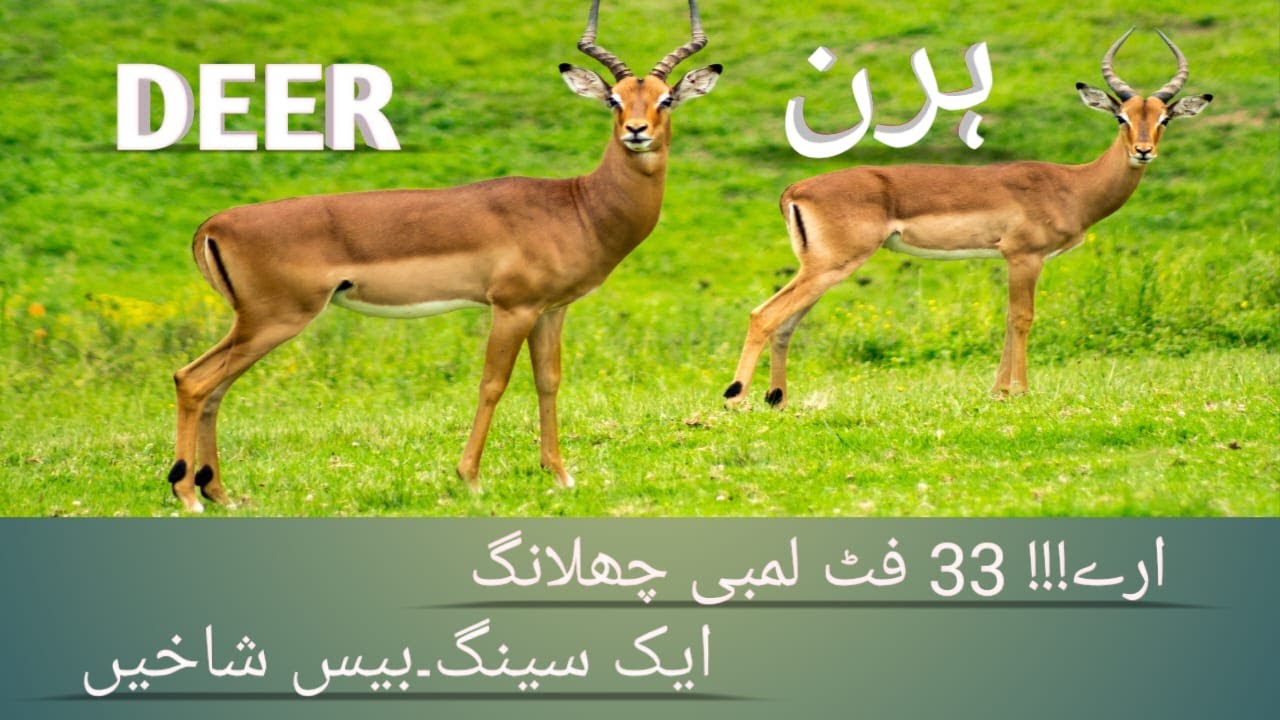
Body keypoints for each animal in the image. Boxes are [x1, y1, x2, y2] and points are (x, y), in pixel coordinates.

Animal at [168, 0, 721, 512]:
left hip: (255, 324)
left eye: (666, 98)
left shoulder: (551, 311)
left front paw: (561, 476)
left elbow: (548, 382)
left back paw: (218, 493)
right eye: (612, 99)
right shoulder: (512, 308)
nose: (636, 130)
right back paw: (189, 494)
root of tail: (214, 225)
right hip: (273, 320)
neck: (576, 205)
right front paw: (470, 478)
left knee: (212, 387)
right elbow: (492, 383)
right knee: (193, 380)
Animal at [723, 28, 1211, 410]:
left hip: (821, 269)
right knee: (763, 315)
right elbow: (1022, 318)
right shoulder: (1024, 257)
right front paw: (1021, 393)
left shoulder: (1012, 260)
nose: (1143, 151)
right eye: (1120, 117)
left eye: (1164, 118)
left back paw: (778, 399)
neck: (1071, 186)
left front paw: (998, 393)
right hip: (831, 266)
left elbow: (1007, 320)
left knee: (786, 323)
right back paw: (734, 397)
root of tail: (794, 190)